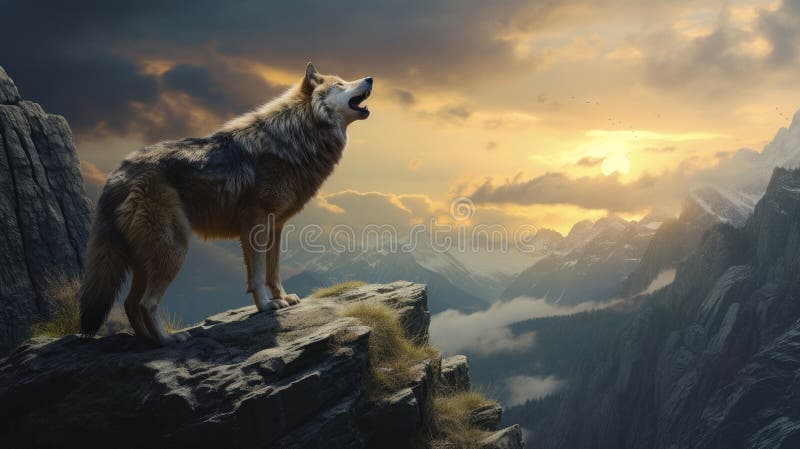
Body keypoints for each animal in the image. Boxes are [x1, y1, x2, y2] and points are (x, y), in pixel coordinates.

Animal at [79, 63, 372, 345]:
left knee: (130, 304)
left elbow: (273, 270)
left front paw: (283, 298)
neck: (296, 136)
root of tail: (115, 175)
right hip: (174, 248)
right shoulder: (254, 220)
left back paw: (145, 341)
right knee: (145, 303)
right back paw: (168, 340)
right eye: (340, 83)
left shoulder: (275, 225)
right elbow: (257, 274)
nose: (370, 78)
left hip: (147, 258)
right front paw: (266, 306)